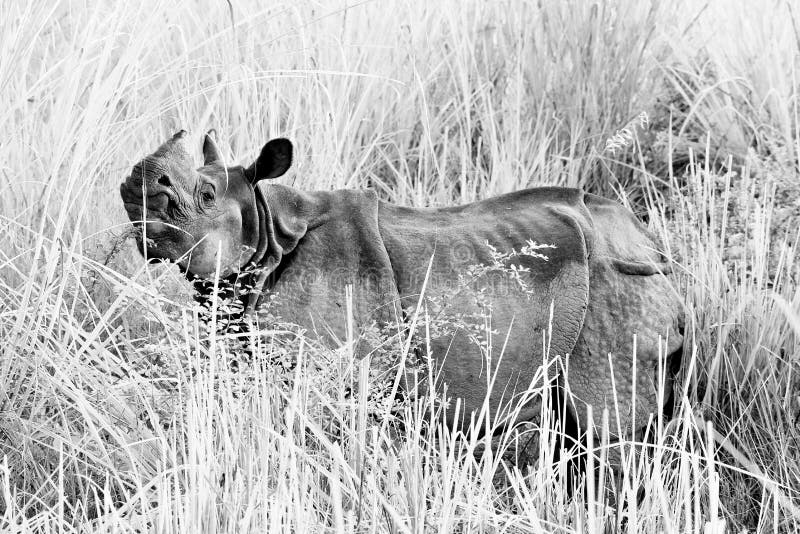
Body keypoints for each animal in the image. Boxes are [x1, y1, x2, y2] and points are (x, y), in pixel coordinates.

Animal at [120, 129, 683, 446]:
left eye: (205, 195)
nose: (133, 187)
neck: (268, 233)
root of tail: (649, 244)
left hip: (619, 283)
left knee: (609, 431)